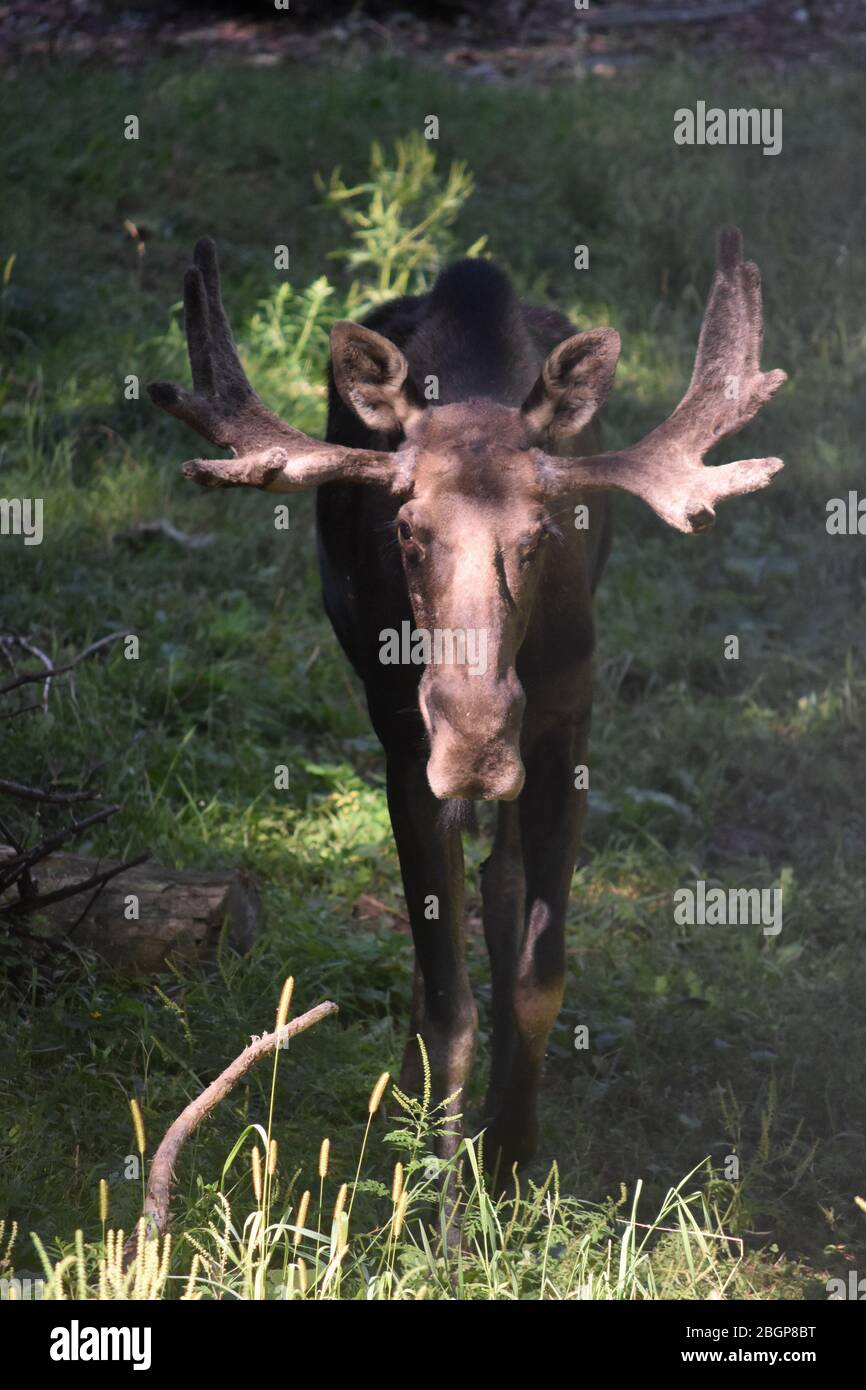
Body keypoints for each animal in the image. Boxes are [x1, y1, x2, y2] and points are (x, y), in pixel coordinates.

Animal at [149, 227, 785, 1179]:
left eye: (542, 531)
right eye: (407, 528)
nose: (478, 743)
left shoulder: (566, 727)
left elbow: (538, 972)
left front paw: (513, 1159)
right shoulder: (405, 741)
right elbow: (449, 1001)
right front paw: (431, 1183)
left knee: (502, 880)